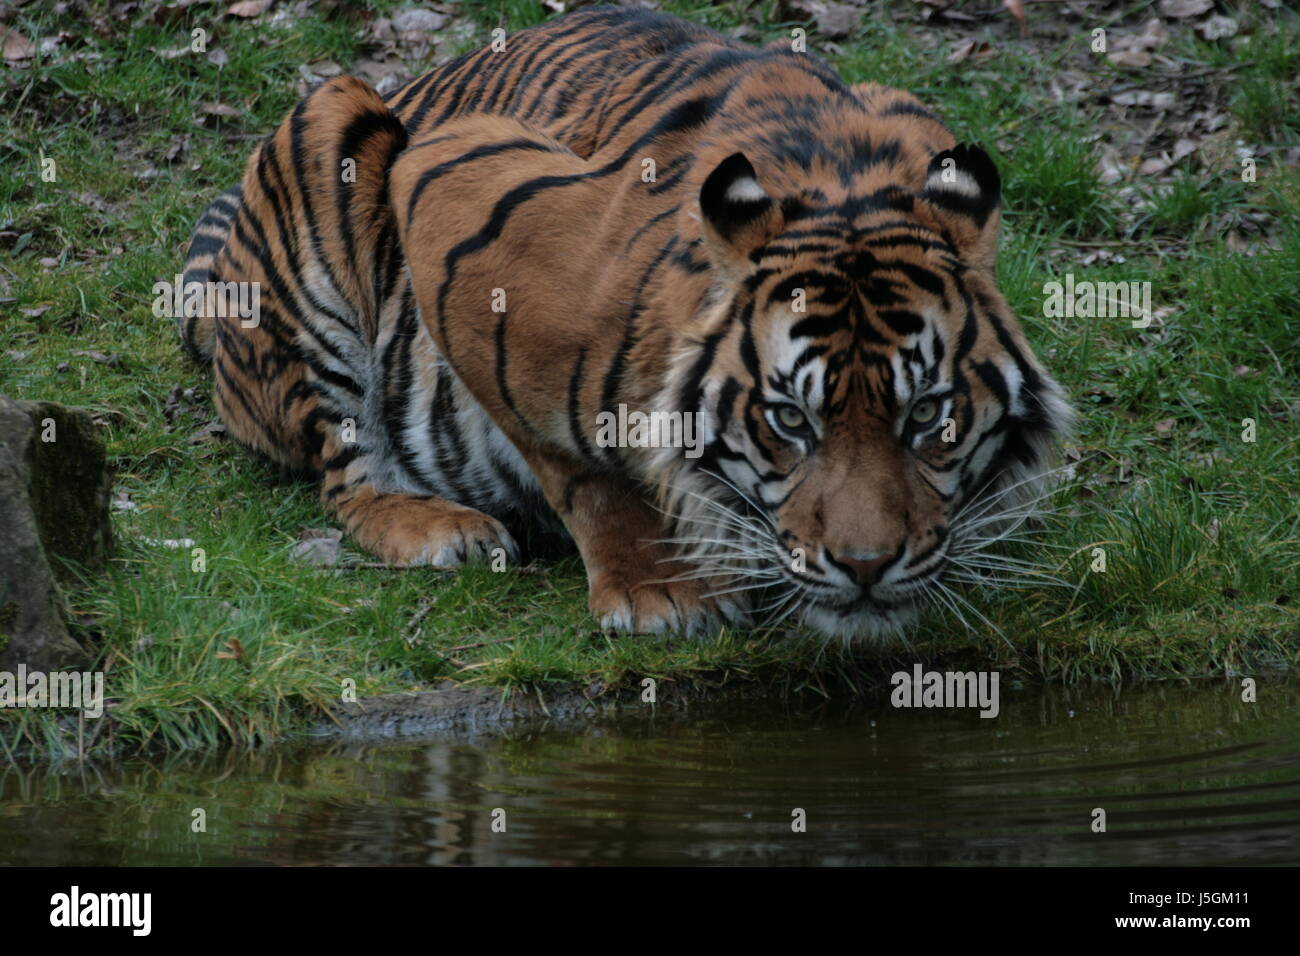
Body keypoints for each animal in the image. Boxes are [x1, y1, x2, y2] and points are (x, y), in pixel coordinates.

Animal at [179, 6, 1071, 641]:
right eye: (790, 420)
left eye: (928, 415)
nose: (865, 567)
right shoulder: (456, 197)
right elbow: (582, 468)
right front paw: (661, 593)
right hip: (331, 129)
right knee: (345, 471)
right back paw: (439, 528)